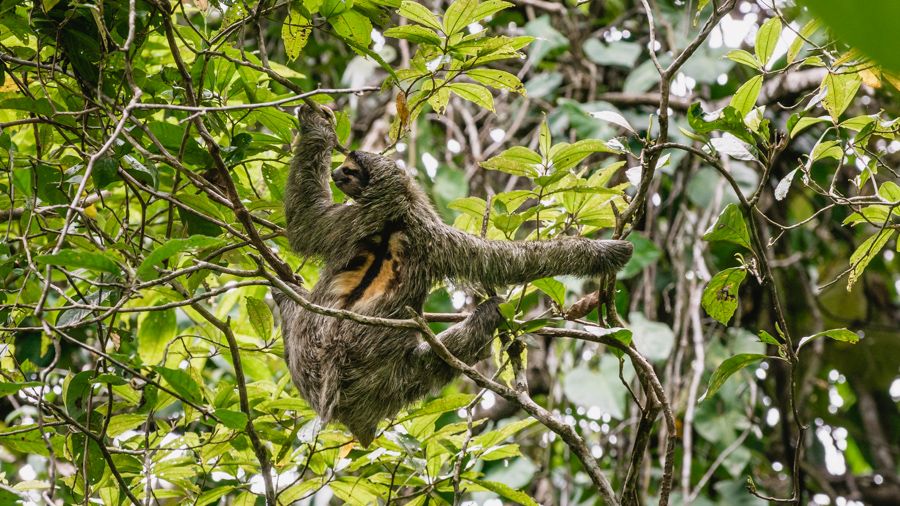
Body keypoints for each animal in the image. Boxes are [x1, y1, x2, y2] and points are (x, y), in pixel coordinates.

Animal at [274, 105, 633, 447]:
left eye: (350, 170)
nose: (336, 172)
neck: (392, 221)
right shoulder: (401, 229)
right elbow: (512, 260)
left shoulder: (377, 225)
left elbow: (305, 222)